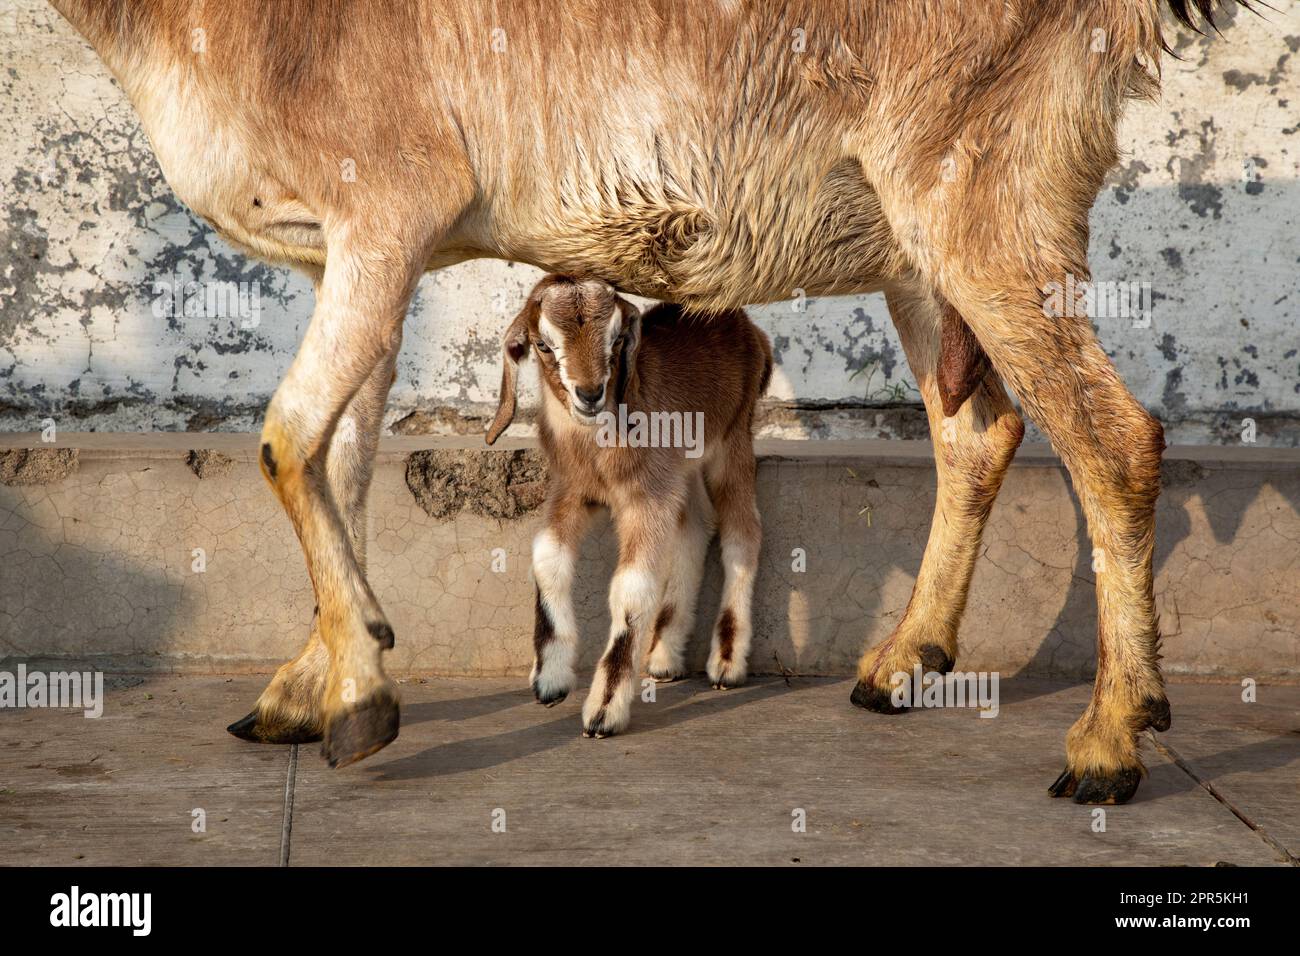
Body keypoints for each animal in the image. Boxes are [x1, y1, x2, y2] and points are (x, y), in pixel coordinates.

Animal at [485, 275, 771, 737]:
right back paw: (665, 655)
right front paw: (549, 679)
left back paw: (726, 662)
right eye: (542, 345)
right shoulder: (572, 490)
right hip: (682, 470)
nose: (589, 394)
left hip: (732, 442)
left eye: (618, 338)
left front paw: (604, 710)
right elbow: (546, 558)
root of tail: (751, 330)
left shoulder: (646, 498)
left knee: (742, 535)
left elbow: (632, 587)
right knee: (696, 526)